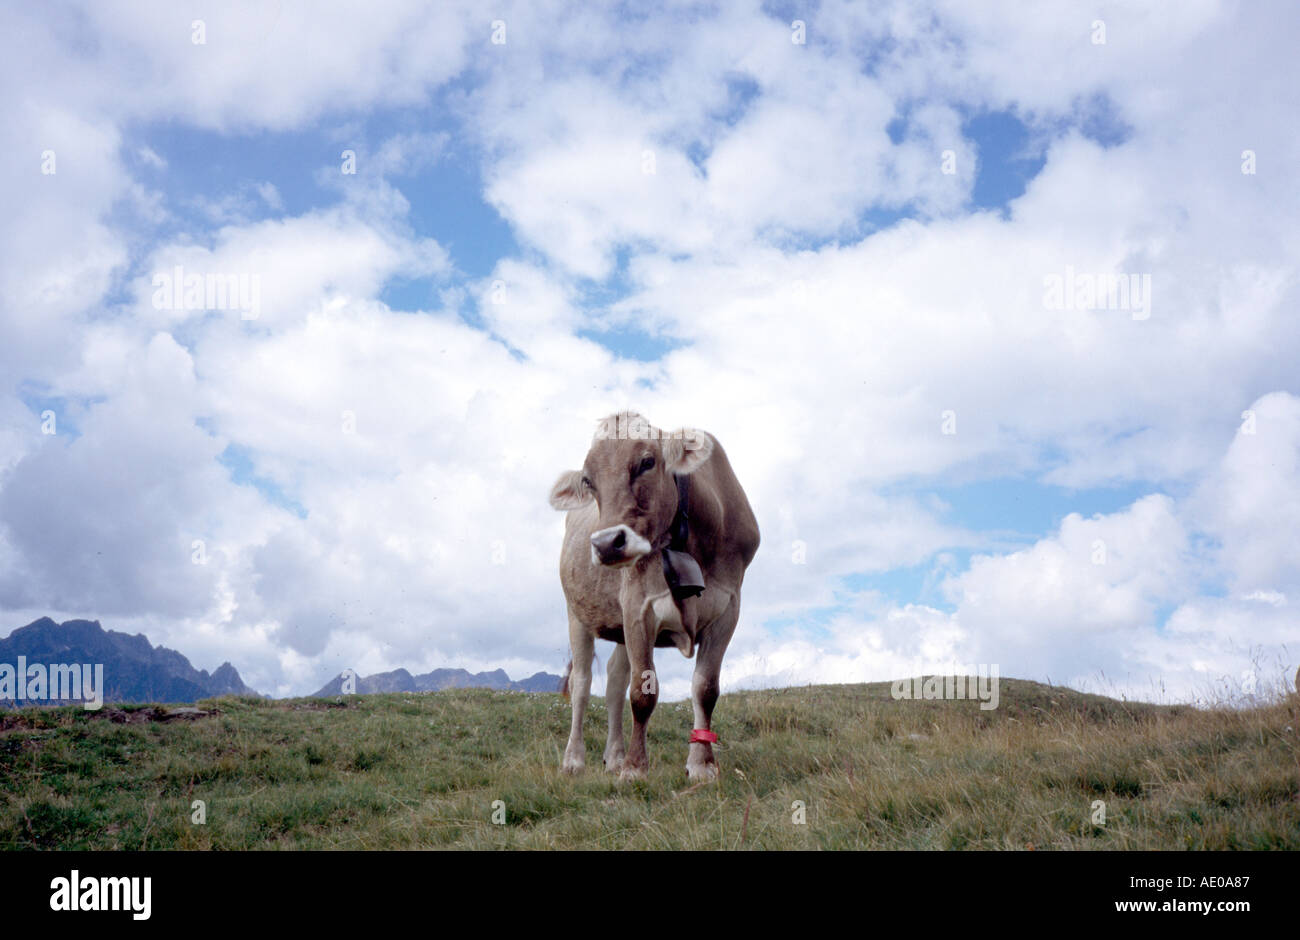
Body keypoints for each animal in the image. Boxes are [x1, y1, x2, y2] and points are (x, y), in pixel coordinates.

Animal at [548, 411, 760, 781]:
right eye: (588, 481)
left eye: (647, 462)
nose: (606, 544)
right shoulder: (638, 609)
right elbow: (642, 692)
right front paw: (635, 768)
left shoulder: (727, 611)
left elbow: (705, 688)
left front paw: (701, 764)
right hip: (577, 615)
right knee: (582, 684)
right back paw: (574, 760)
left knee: (615, 680)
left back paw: (614, 755)